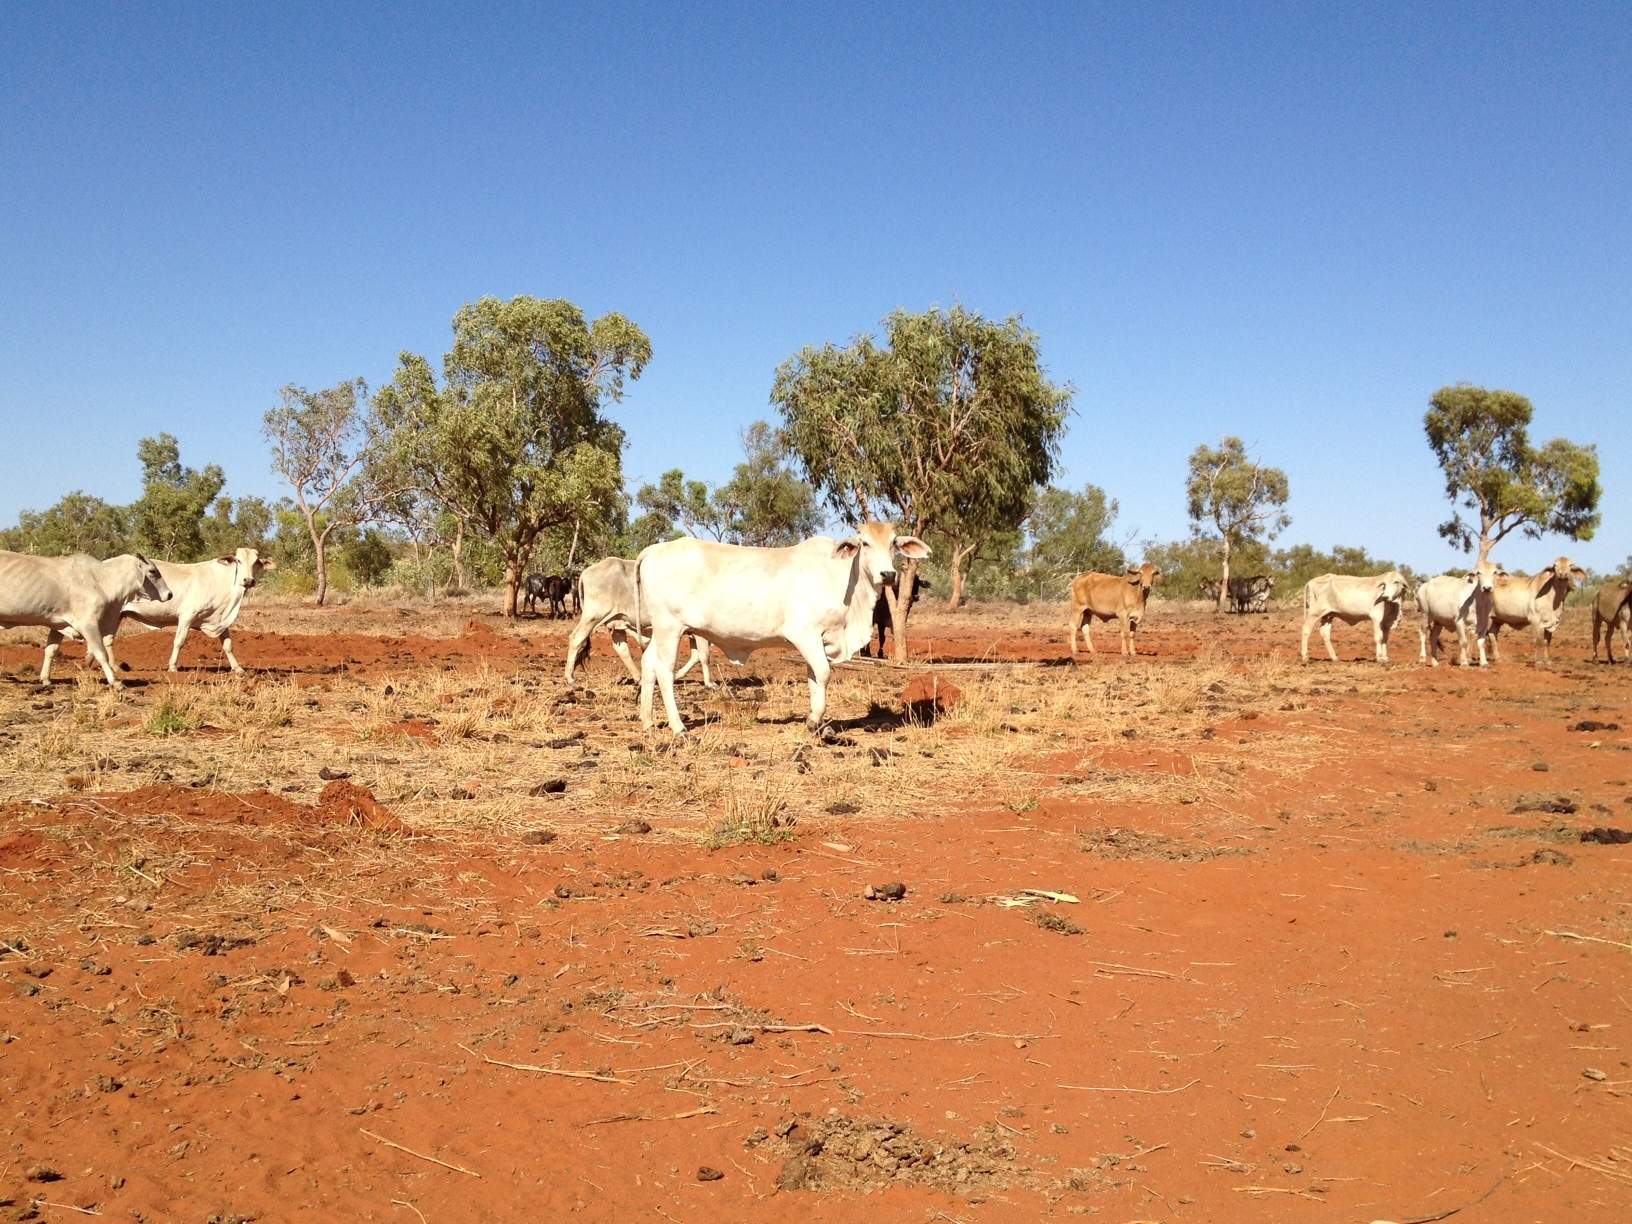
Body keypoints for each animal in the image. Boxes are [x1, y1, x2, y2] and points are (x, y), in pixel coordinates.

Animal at [0, 551, 171, 688]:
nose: (170, 594)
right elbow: (101, 653)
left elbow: (51, 650)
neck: (101, 580)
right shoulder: (88, 623)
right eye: (152, 571)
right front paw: (116, 682)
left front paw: (46, 679)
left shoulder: (58, 624)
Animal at [563, 557, 712, 687]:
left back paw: (639, 678)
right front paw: (710, 684)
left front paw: (677, 675)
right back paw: (570, 678)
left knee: (621, 648)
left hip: (616, 621)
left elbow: (696, 656)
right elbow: (703, 655)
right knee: (576, 638)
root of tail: (587, 571)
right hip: (593, 616)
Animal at [633, 523, 929, 734]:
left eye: (893, 543)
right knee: (664, 671)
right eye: (864, 543)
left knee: (648, 663)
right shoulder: (806, 634)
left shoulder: (818, 640)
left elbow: (813, 678)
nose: (888, 574)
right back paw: (678, 727)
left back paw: (647, 722)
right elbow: (823, 673)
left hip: (661, 632)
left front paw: (815, 721)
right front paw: (814, 719)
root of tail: (654, 550)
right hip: (670, 628)